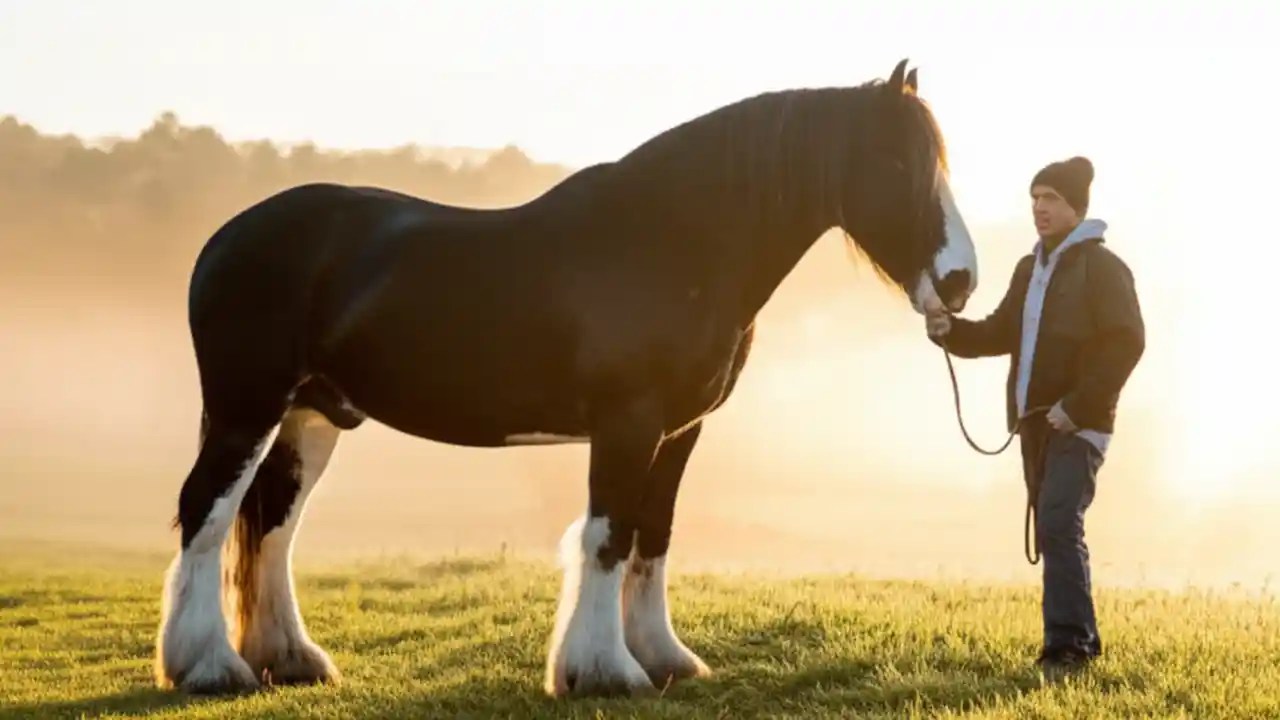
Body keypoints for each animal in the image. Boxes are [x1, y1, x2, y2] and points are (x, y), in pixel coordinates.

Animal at [153, 58, 977, 699]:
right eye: (896, 164)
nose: (961, 281)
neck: (672, 241)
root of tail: (224, 239)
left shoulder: (680, 430)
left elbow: (653, 535)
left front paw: (665, 659)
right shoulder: (628, 423)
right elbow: (608, 537)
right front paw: (603, 670)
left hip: (311, 418)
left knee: (272, 525)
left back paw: (289, 660)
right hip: (248, 407)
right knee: (207, 514)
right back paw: (208, 667)